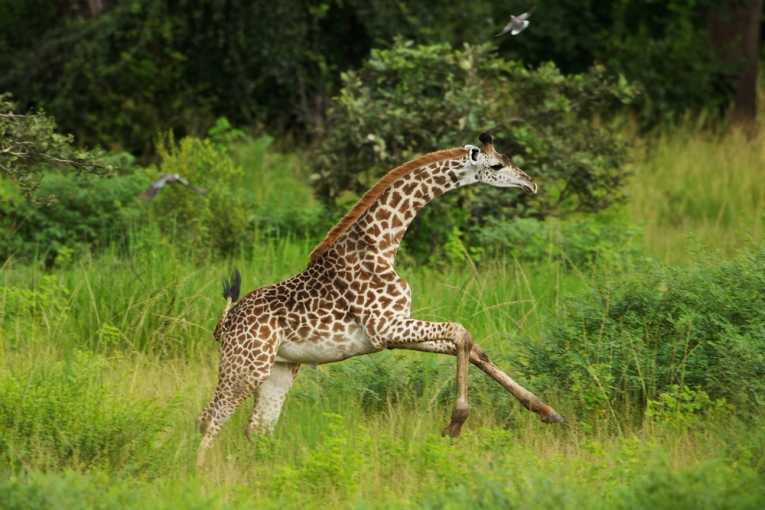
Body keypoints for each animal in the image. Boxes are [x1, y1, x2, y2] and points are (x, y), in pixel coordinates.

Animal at [196, 133, 563, 467]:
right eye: (497, 165)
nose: (530, 184)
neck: (383, 243)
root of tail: (222, 325)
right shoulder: (385, 327)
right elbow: (461, 332)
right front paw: (455, 424)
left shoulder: (392, 330)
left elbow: (473, 348)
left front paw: (547, 411)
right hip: (246, 366)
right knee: (209, 419)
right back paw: (199, 476)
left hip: (280, 370)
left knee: (257, 428)